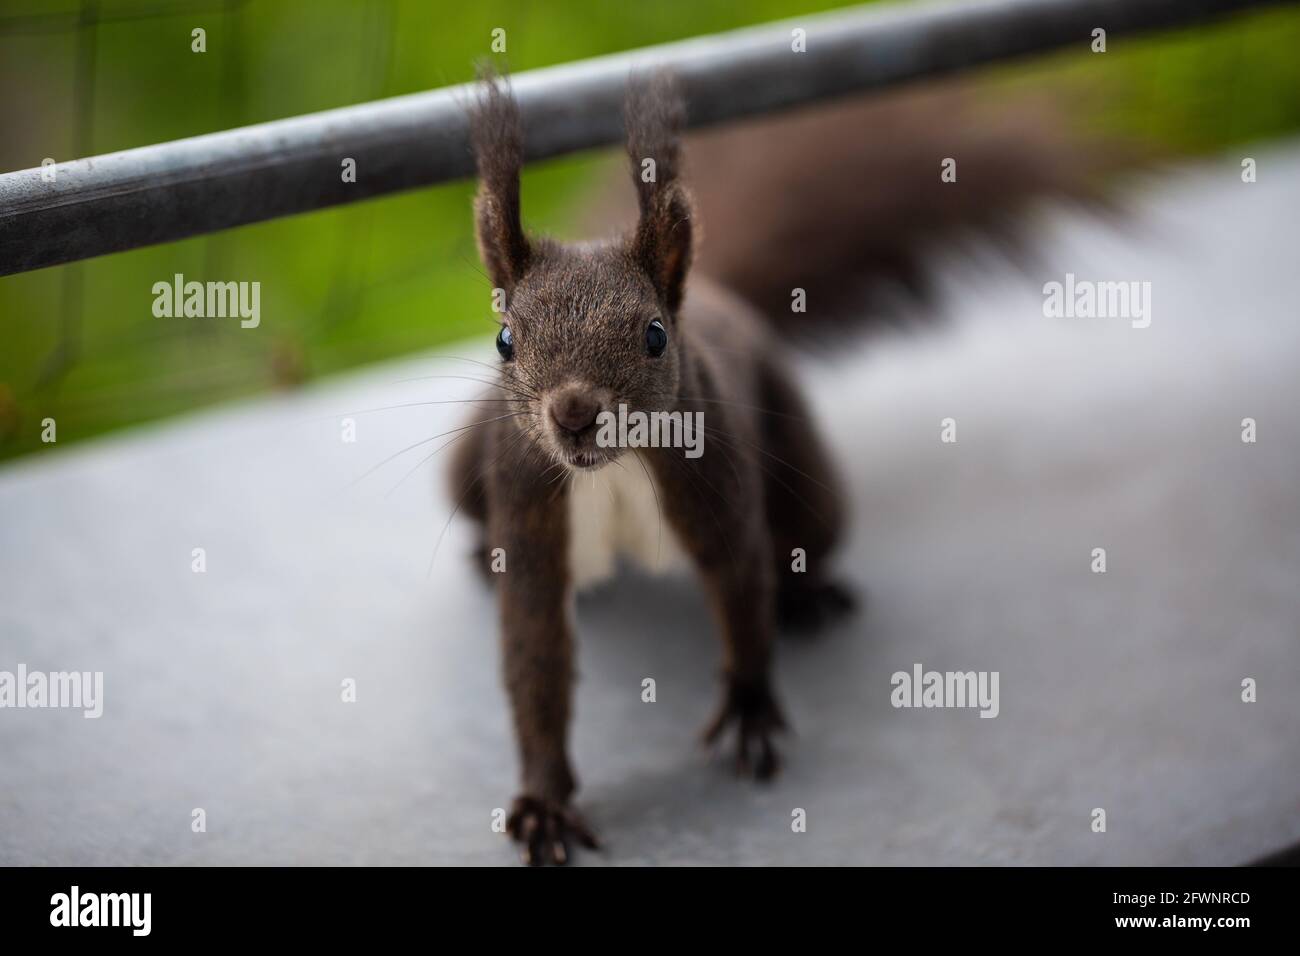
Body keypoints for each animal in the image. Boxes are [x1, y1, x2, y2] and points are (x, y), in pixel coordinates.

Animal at [449, 71, 1103, 865]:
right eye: (505, 339)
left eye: (655, 336)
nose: (574, 413)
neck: (611, 471)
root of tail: (715, 291)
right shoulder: (529, 511)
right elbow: (534, 658)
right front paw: (544, 802)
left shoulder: (718, 490)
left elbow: (743, 595)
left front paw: (750, 708)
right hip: (464, 463)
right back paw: (479, 553)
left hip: (805, 474)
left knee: (806, 537)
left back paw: (810, 596)